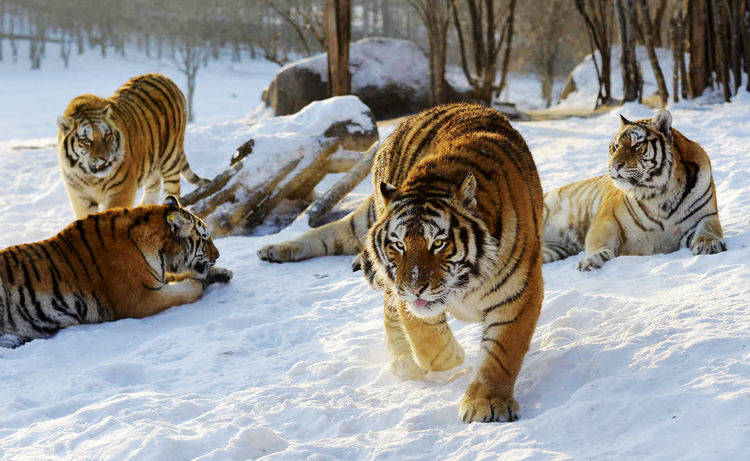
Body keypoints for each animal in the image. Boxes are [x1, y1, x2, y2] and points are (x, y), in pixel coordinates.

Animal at [0, 196, 232, 349]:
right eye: (205, 239)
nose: (218, 254)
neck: (161, 251)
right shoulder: (140, 299)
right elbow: (186, 290)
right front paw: (199, 282)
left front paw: (222, 272)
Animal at [56, 73, 208, 219]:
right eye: (87, 140)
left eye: (107, 136)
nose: (105, 157)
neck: (91, 178)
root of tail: (164, 77)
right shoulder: (80, 197)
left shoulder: (120, 191)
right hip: (152, 163)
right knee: (154, 187)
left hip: (171, 159)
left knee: (173, 192)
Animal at [260, 103, 545, 423]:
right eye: (399, 245)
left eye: (439, 243)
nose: (415, 286)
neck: (465, 284)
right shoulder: (405, 295)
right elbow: (426, 338)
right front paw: (452, 357)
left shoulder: (519, 293)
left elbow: (502, 353)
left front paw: (488, 402)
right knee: (339, 234)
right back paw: (273, 249)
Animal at [541, 110, 726, 270]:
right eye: (616, 146)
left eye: (637, 145)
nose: (615, 165)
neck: (662, 193)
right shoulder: (607, 217)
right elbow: (598, 238)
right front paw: (593, 259)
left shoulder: (706, 216)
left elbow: (708, 230)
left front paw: (709, 244)